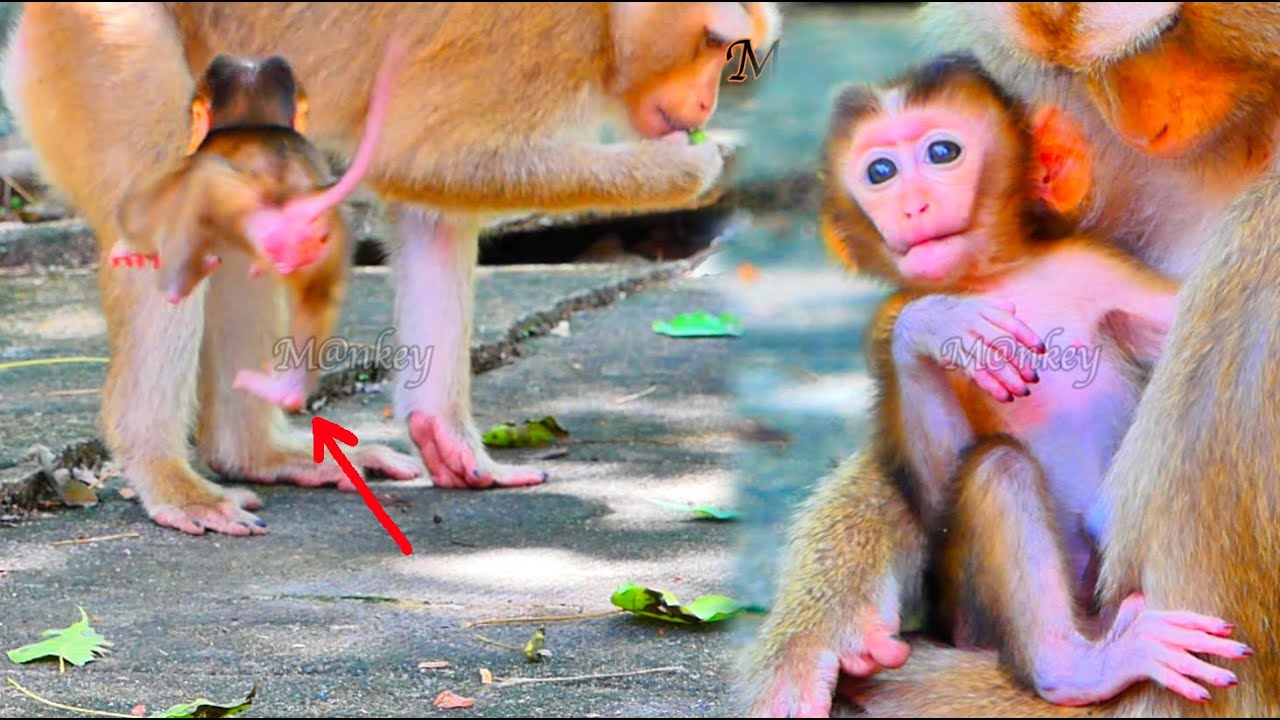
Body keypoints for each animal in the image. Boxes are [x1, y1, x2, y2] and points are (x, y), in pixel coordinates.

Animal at [111, 45, 404, 412]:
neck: (254, 121)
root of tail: (298, 195)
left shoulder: (188, 162)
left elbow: (135, 212)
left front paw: (128, 247)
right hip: (330, 238)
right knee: (319, 293)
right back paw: (286, 390)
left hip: (232, 198)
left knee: (202, 181)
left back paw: (180, 283)